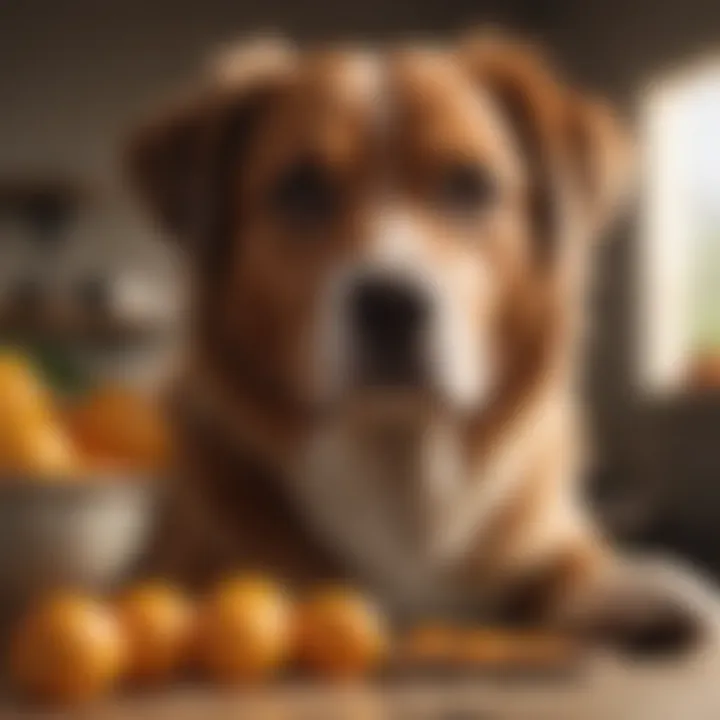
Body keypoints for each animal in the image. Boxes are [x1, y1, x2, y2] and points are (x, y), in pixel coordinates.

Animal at [126, 32, 716, 652]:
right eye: (301, 189)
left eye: (468, 185)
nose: (392, 306)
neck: (400, 455)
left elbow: (568, 563)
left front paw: (631, 585)